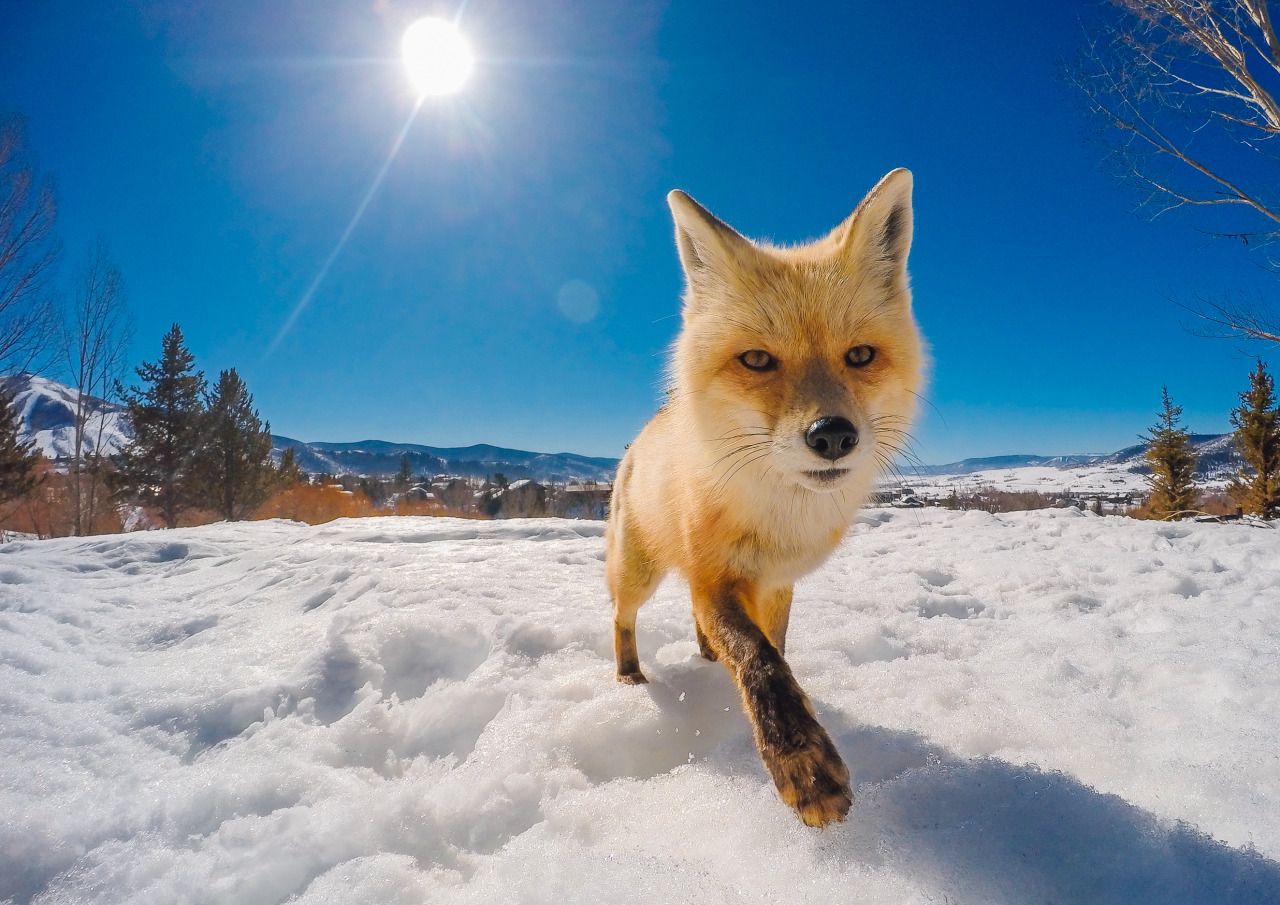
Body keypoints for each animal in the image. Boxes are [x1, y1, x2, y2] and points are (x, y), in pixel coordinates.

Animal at [605, 169, 925, 827]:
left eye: (861, 355)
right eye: (756, 360)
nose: (832, 435)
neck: (779, 519)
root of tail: (644, 433)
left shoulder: (776, 581)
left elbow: (774, 649)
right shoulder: (715, 576)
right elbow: (758, 660)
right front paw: (802, 765)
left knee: (699, 629)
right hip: (638, 572)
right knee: (622, 617)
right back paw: (630, 677)